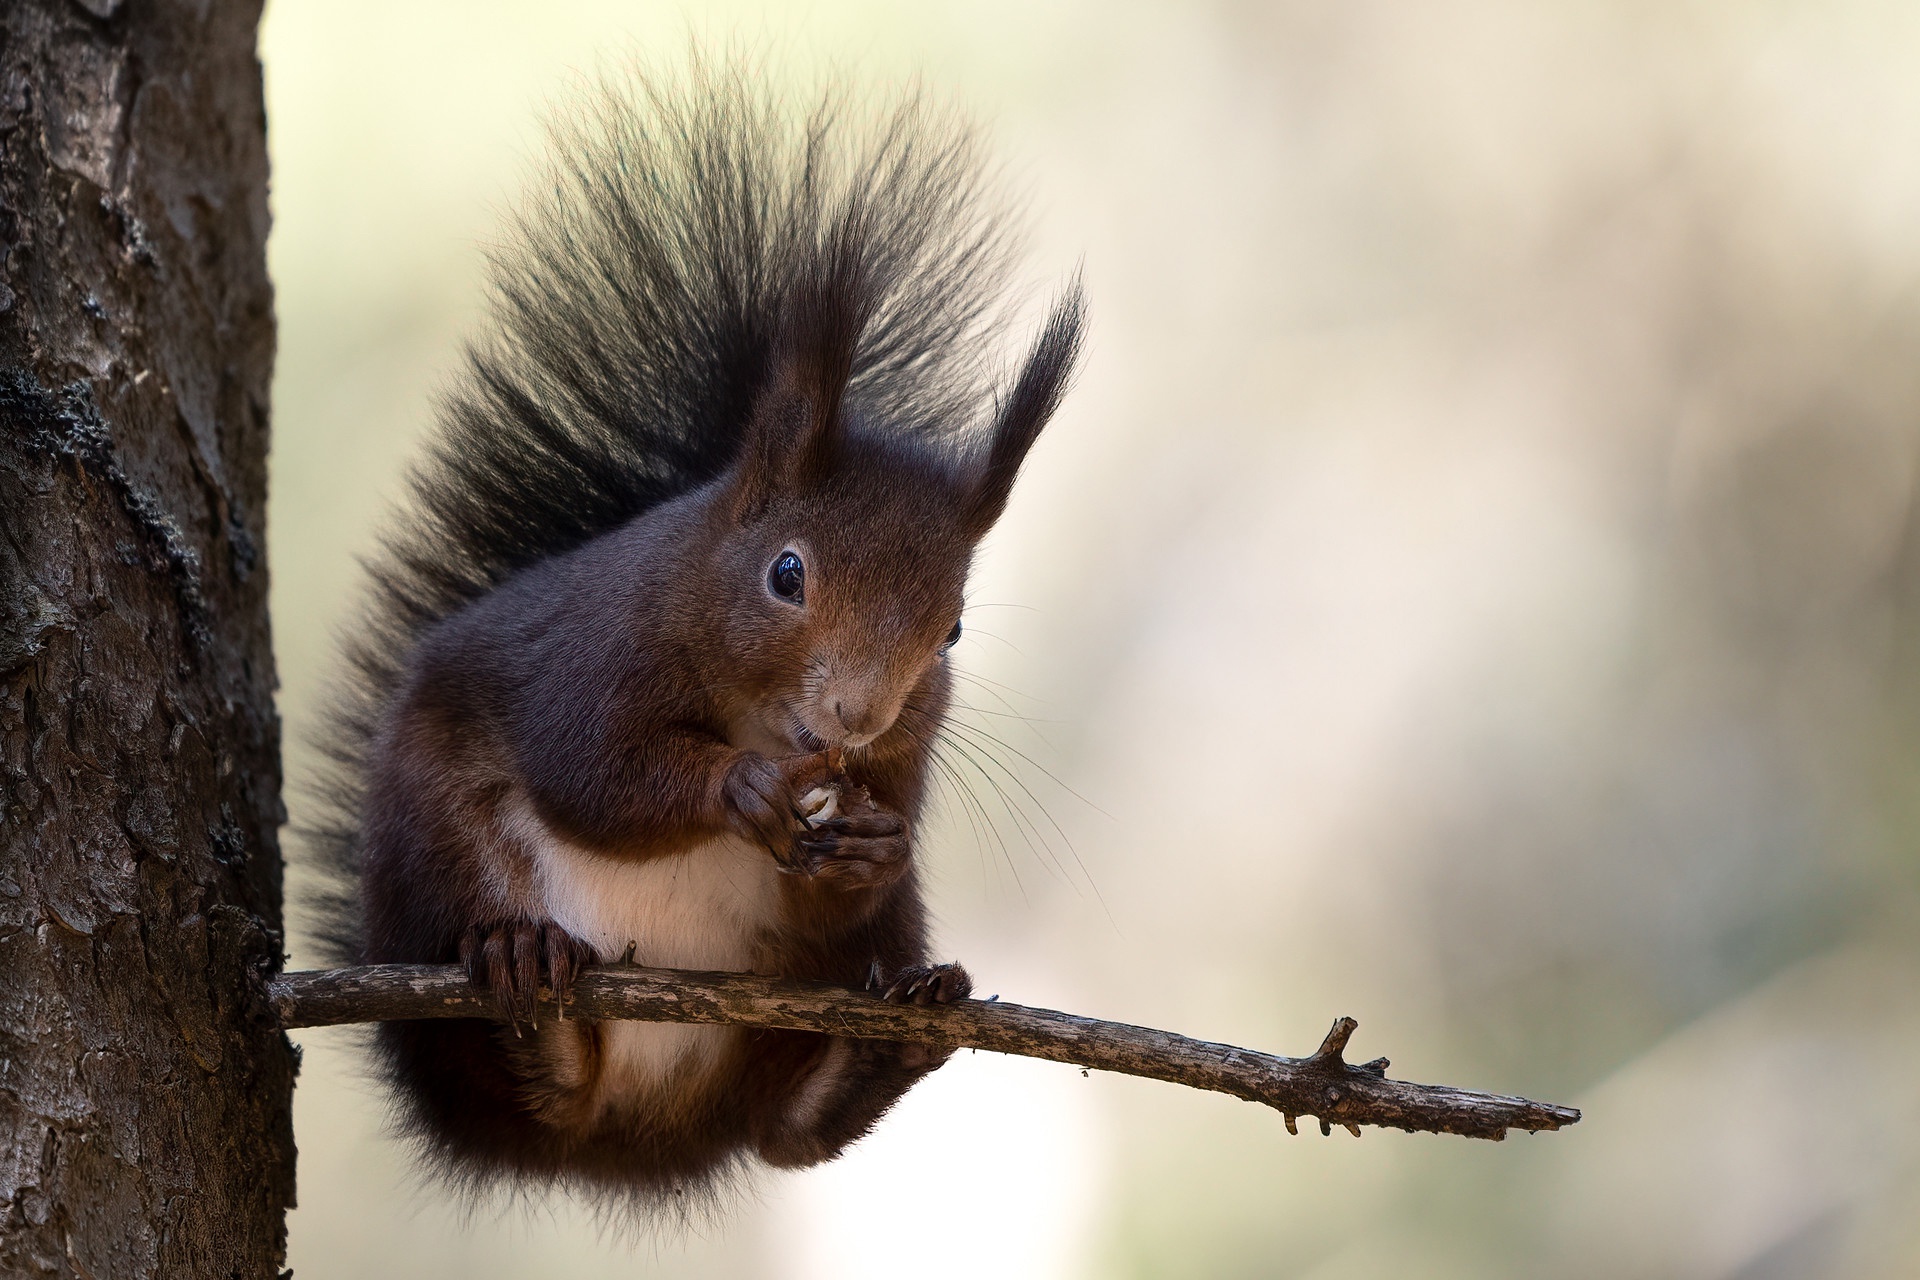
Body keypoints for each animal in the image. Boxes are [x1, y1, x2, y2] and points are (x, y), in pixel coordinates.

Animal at [303, 60, 1083, 1213]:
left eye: (951, 629)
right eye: (787, 574)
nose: (858, 712)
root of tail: (631, 1139)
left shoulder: (901, 759)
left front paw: (868, 842)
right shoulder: (592, 652)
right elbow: (593, 775)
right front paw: (741, 786)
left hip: (828, 987)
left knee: (785, 1133)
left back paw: (885, 1042)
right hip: (426, 854)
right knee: (494, 1063)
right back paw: (526, 990)